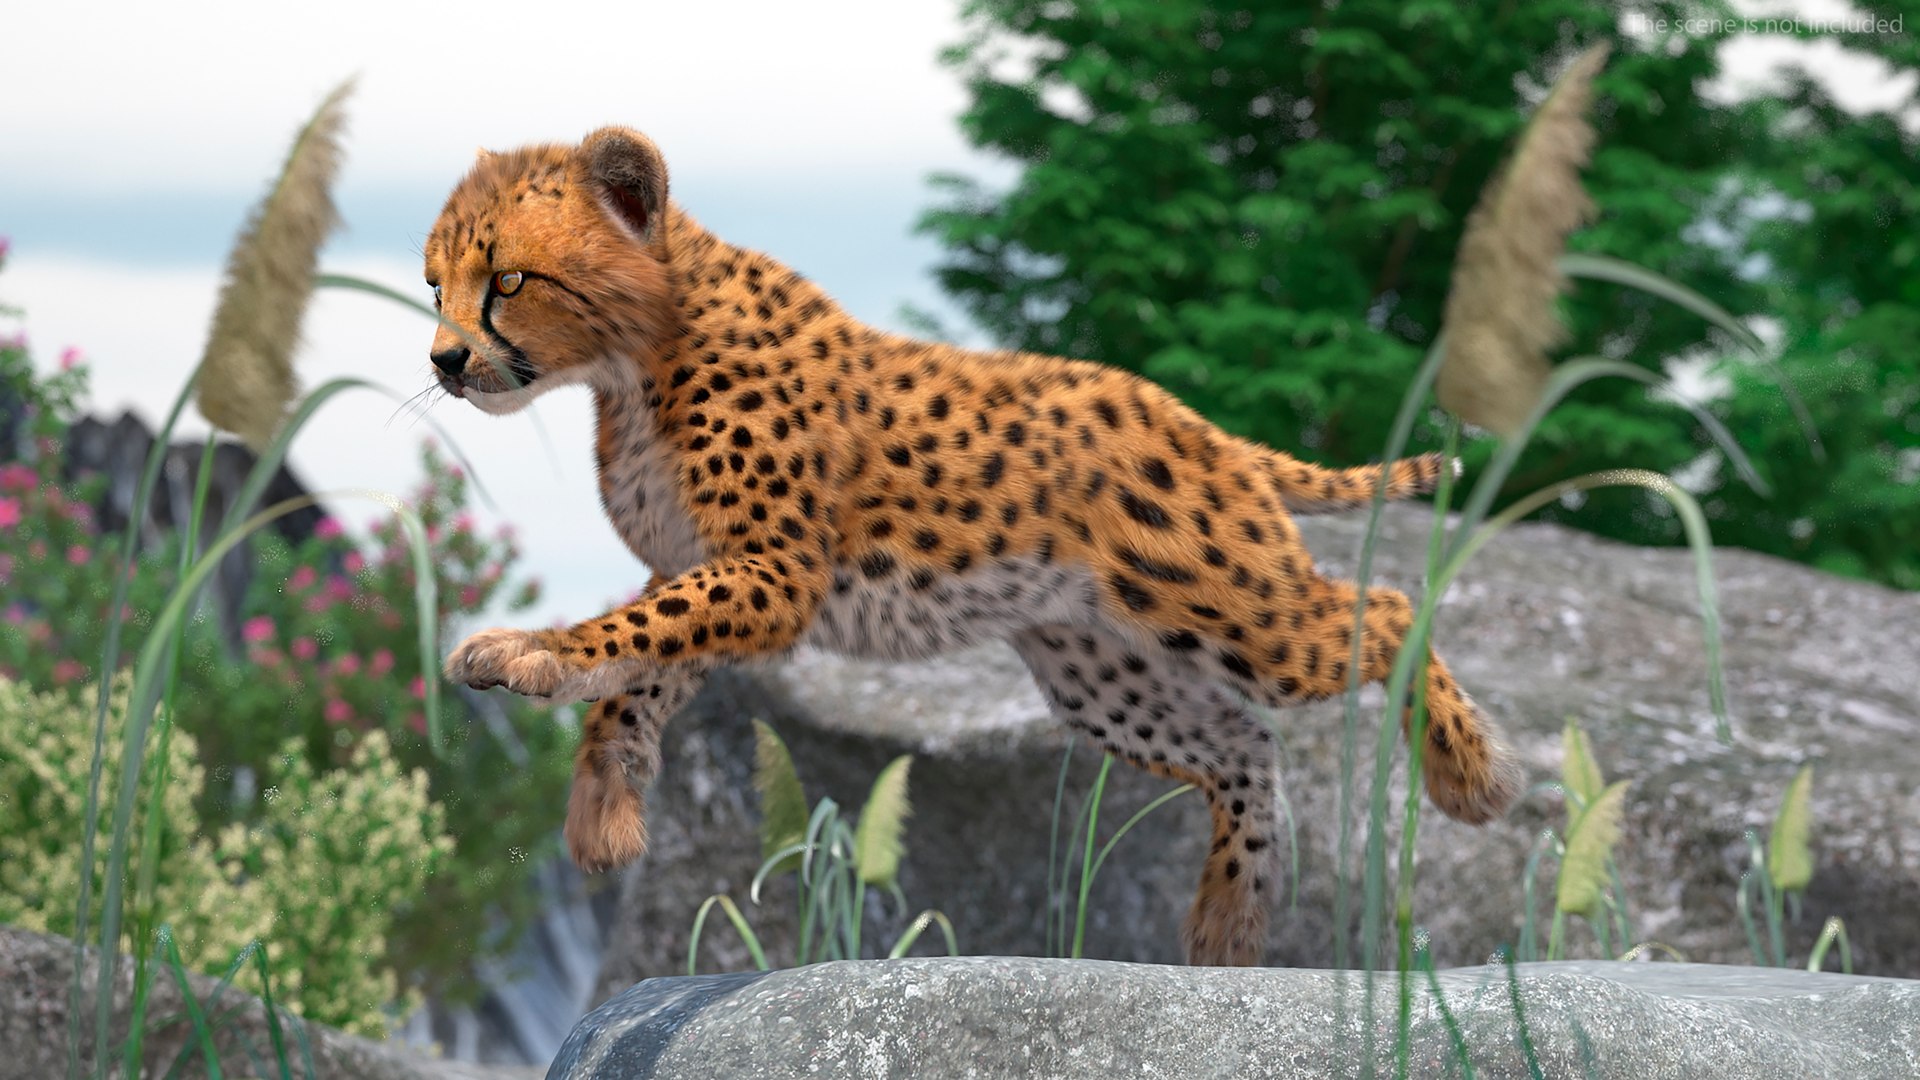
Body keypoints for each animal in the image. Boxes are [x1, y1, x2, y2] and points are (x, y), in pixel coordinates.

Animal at [424, 125, 1522, 967]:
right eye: (435, 286)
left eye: (508, 279)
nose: (441, 360)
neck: (631, 360)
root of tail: (1199, 424)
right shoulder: (706, 565)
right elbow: (638, 668)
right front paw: (605, 810)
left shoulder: (773, 571)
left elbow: (629, 631)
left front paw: (526, 652)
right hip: (1100, 673)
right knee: (1242, 743)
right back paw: (1226, 927)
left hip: (1233, 607)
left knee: (1382, 613)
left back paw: (1472, 776)